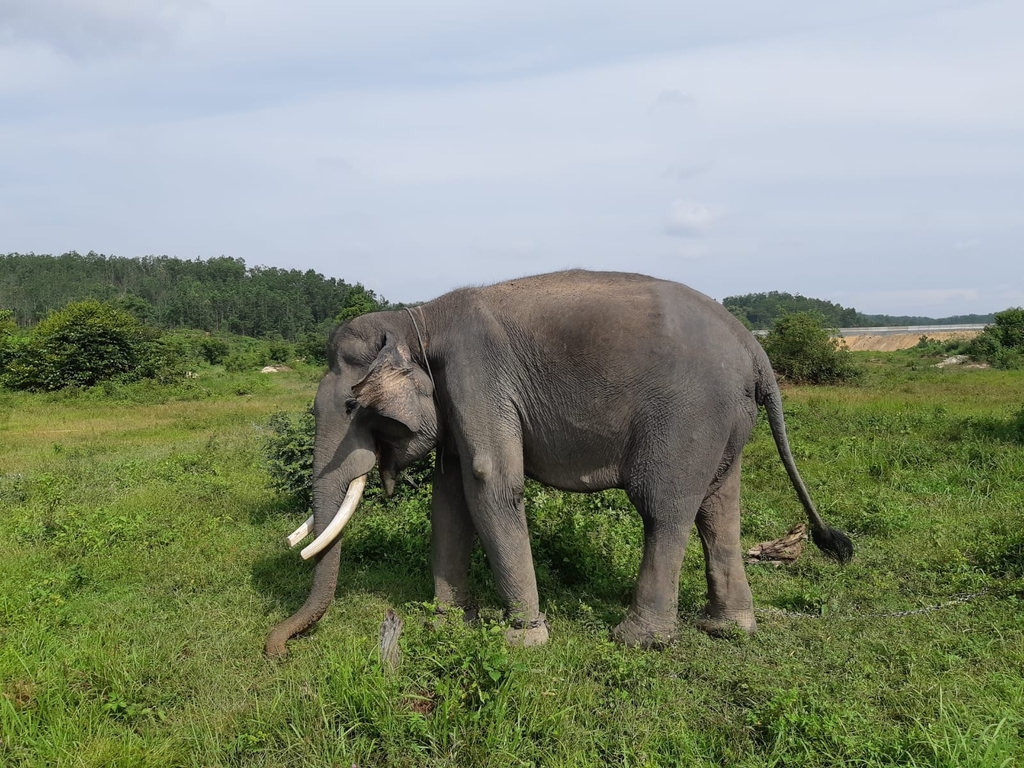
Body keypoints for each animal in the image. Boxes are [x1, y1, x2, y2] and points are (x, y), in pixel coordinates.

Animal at [265, 270, 852, 657]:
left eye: (351, 407)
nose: (278, 648)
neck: (419, 317)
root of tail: (755, 350)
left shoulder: (479, 374)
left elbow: (488, 482)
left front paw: (523, 641)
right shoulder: (457, 397)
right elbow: (449, 496)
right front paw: (448, 626)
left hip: (688, 416)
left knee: (663, 509)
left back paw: (639, 641)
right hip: (726, 423)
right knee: (718, 508)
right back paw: (727, 630)